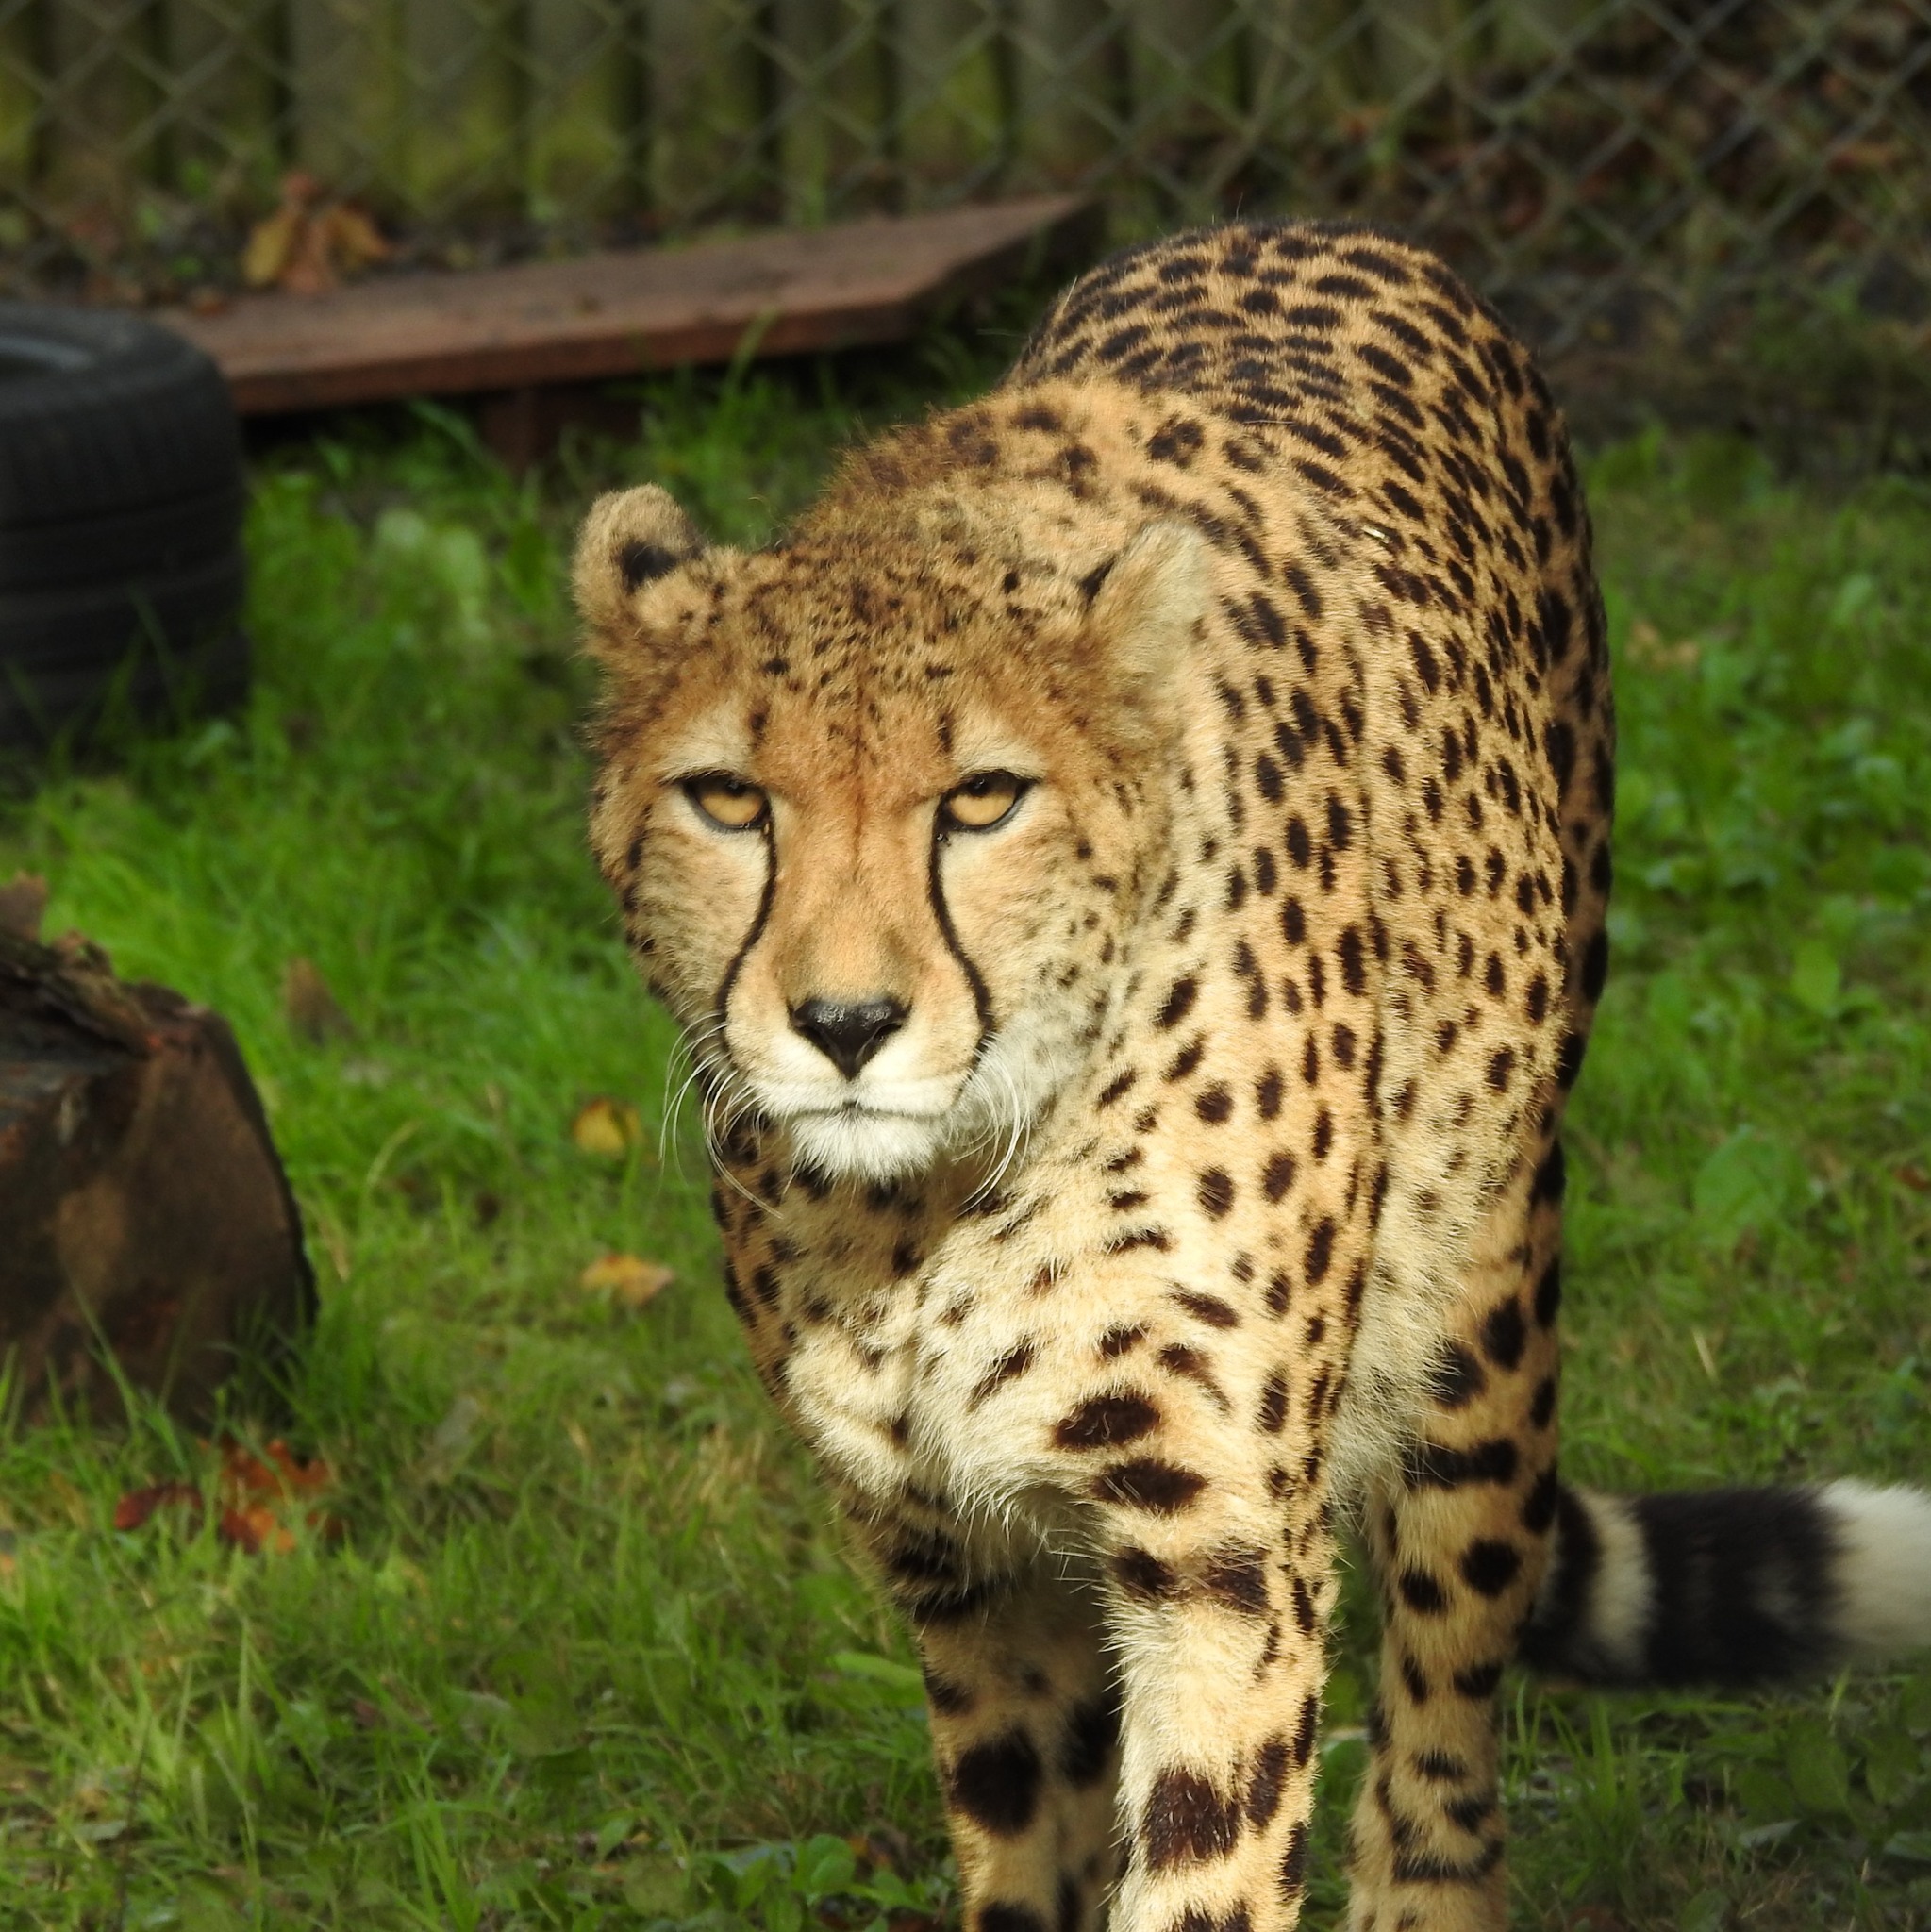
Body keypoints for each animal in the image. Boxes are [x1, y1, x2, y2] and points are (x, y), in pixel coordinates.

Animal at [573, 219, 1931, 1932]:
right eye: (731, 798)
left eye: (982, 797)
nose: (844, 1021)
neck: (928, 1204)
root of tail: (1302, 227)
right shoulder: (963, 1559)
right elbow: (1027, 1848)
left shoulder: (1211, 1556)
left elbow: (1204, 1862)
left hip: (1481, 1295)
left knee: (1442, 1704)